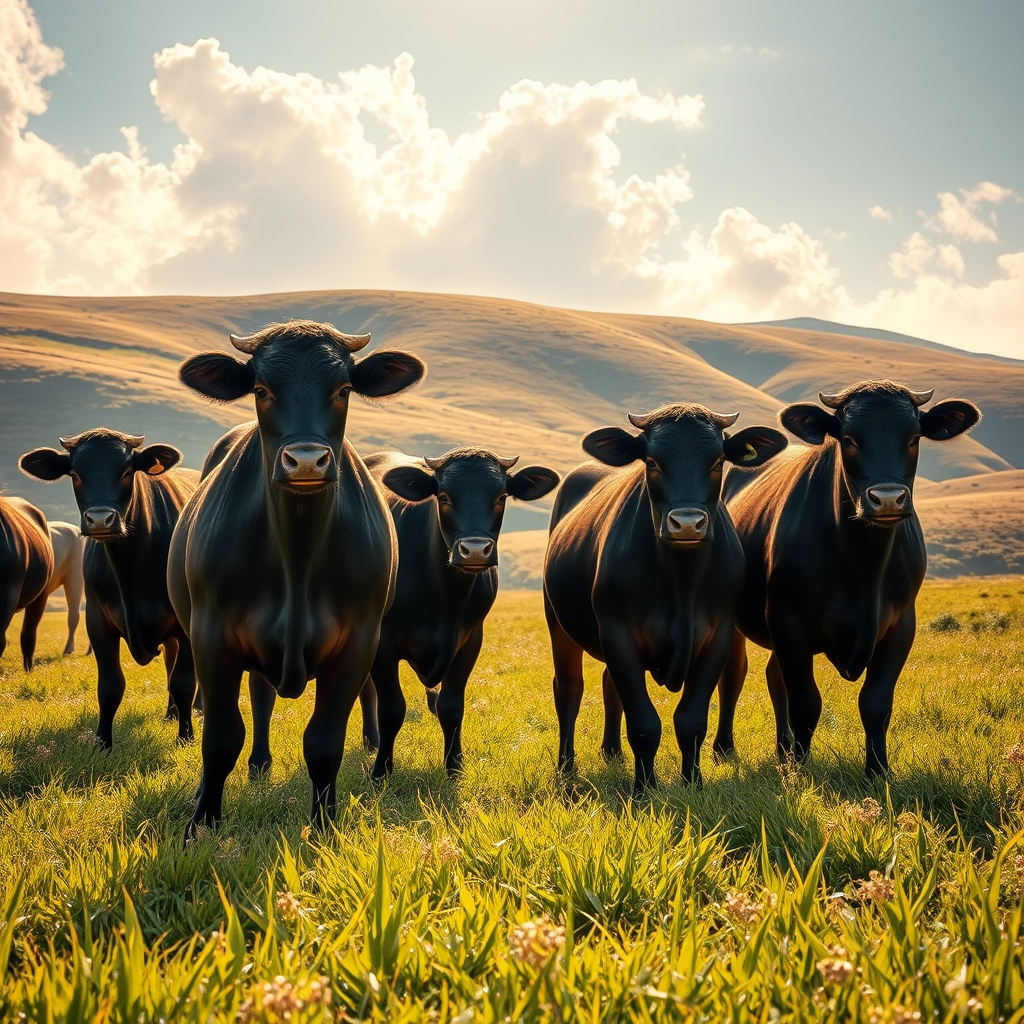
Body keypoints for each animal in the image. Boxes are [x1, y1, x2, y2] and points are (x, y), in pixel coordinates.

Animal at [19, 430, 200, 746]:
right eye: (75, 474)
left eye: (127, 471)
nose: (100, 519)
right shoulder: (97, 619)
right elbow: (110, 685)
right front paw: (102, 742)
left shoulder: (185, 620)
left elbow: (184, 683)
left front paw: (185, 738)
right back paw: (170, 714)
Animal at [168, 320, 425, 837]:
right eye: (262, 390)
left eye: (343, 388)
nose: (306, 460)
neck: (297, 557)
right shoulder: (211, 633)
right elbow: (220, 738)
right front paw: (201, 823)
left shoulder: (360, 640)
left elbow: (323, 742)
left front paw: (324, 827)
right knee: (256, 700)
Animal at [362, 447, 560, 778]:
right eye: (443, 496)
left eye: (501, 496)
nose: (475, 551)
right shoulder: (382, 641)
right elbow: (391, 708)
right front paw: (381, 771)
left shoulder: (469, 640)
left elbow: (451, 706)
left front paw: (454, 765)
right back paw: (372, 742)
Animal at [544, 403, 788, 794]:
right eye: (652, 461)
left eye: (718, 460)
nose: (687, 523)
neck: (681, 581)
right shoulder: (617, 633)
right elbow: (644, 724)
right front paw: (644, 789)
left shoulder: (718, 634)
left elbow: (691, 720)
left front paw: (694, 784)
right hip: (557, 623)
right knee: (569, 689)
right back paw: (567, 767)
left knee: (608, 684)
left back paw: (612, 752)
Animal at [712, 380, 980, 777]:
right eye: (850, 438)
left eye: (914, 437)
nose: (888, 499)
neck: (862, 569)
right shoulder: (787, 619)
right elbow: (806, 702)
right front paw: (800, 773)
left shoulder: (901, 624)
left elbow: (876, 704)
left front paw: (878, 772)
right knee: (734, 676)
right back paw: (725, 750)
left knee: (775, 678)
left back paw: (783, 750)